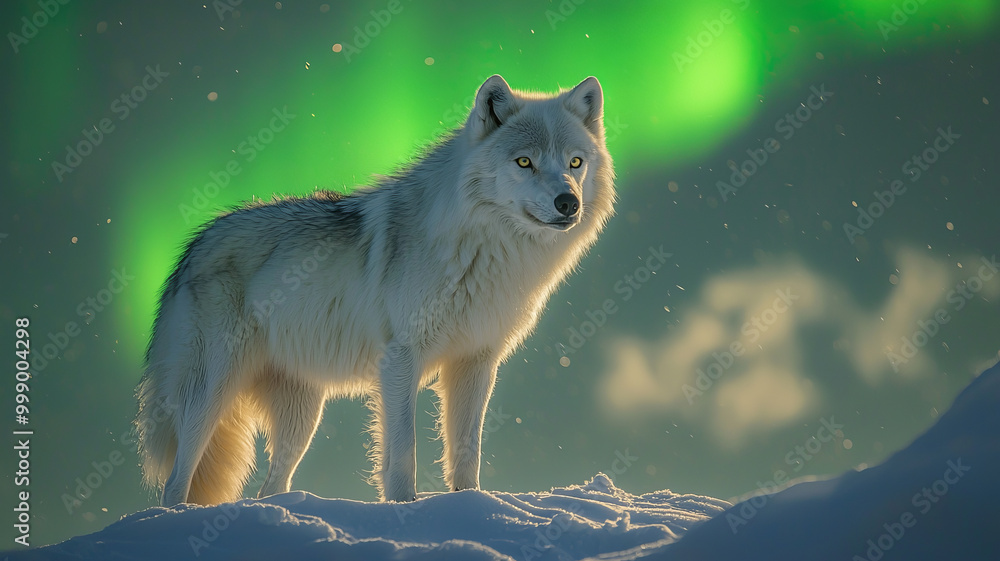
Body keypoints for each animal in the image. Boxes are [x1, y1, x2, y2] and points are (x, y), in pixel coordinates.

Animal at [136, 75, 616, 505]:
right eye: (524, 162)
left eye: (575, 163)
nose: (568, 203)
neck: (485, 250)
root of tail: (192, 246)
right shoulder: (400, 360)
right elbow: (404, 451)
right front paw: (405, 509)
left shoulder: (476, 362)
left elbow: (467, 452)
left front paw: (470, 507)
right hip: (210, 395)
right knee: (176, 481)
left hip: (303, 417)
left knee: (270, 486)